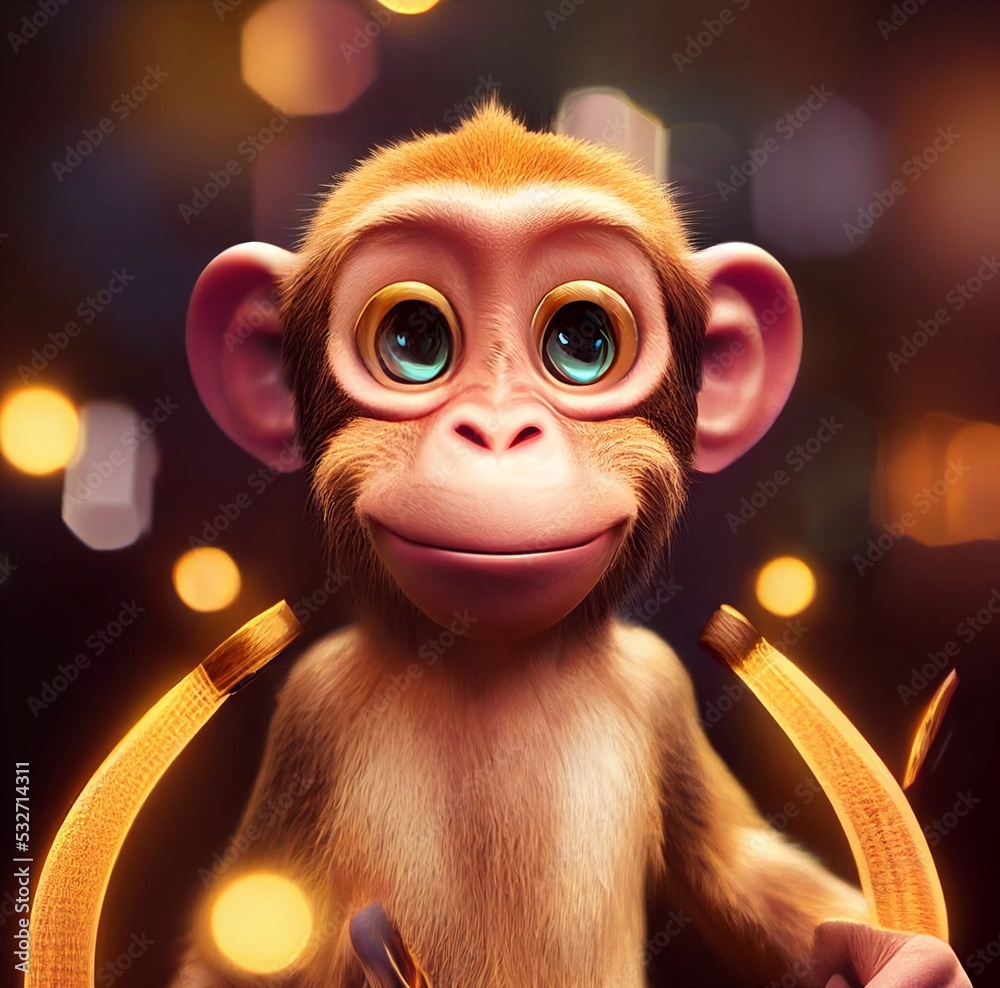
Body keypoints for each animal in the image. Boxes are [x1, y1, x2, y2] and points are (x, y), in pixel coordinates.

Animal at [175, 103, 969, 988]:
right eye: (413, 339)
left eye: (582, 340)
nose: (497, 432)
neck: (493, 667)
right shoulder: (310, 709)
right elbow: (250, 937)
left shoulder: (660, 689)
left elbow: (742, 869)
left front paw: (909, 959)